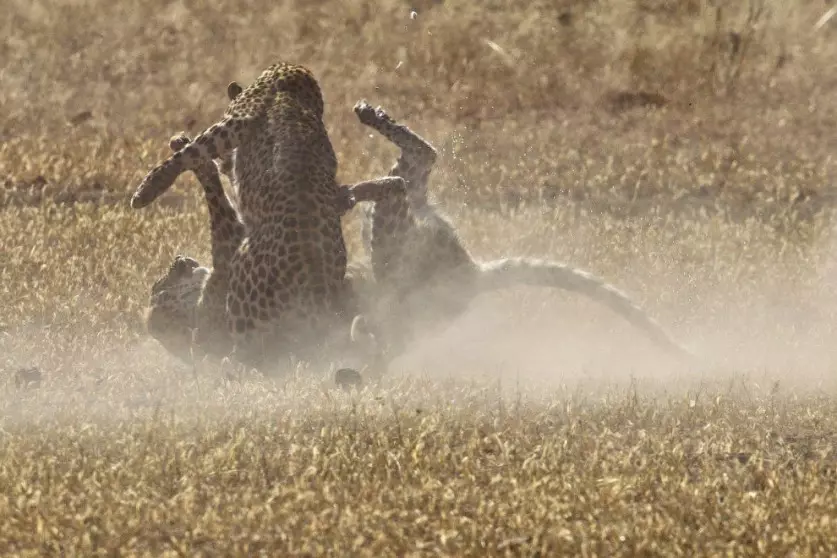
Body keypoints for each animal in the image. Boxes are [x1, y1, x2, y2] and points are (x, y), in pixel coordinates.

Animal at [132, 60, 400, 372]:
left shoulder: (236, 123)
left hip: (242, 279)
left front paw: (148, 187)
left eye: (162, 285)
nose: (178, 261)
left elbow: (194, 155)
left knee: (244, 356)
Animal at [342, 101, 696, 374]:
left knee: (406, 175)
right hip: (400, 232)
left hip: (394, 245)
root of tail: (473, 271)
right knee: (418, 163)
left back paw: (356, 184)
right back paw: (371, 124)